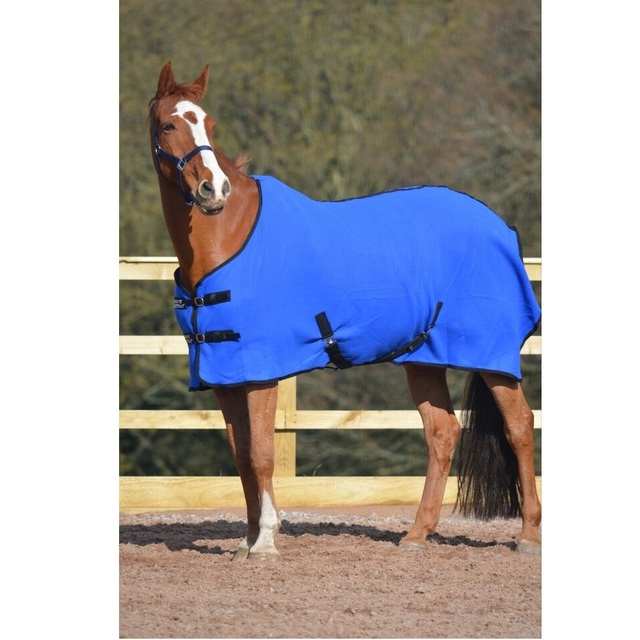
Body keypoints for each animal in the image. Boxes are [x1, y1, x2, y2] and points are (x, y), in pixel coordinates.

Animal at [148, 61, 542, 560]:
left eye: (210, 124)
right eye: (168, 125)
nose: (212, 190)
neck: (228, 239)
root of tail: (500, 227)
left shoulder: (259, 371)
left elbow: (261, 453)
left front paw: (266, 542)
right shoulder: (223, 374)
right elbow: (241, 456)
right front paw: (246, 540)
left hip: (491, 356)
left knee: (519, 426)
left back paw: (527, 535)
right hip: (423, 358)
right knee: (443, 433)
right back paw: (417, 535)